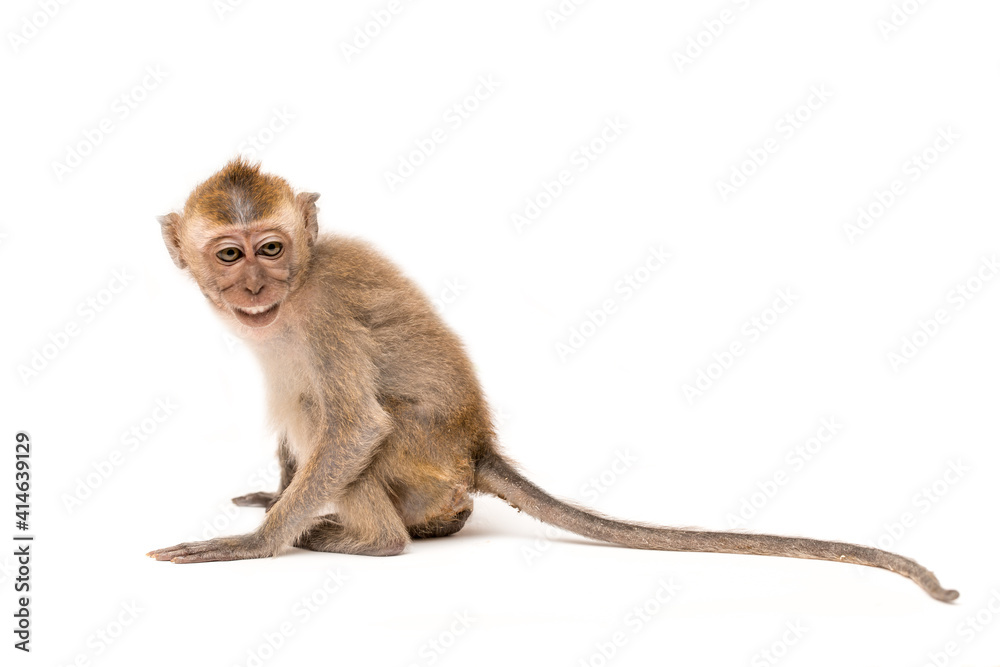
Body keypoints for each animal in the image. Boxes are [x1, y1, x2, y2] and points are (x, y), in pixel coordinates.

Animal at [147, 157, 958, 603]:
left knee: (335, 420)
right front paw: (276, 497)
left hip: (424, 463)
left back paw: (370, 540)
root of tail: (476, 449)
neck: (292, 294)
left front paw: (256, 541)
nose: (255, 284)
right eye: (229, 254)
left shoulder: (323, 315)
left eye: (271, 248)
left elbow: (355, 427)